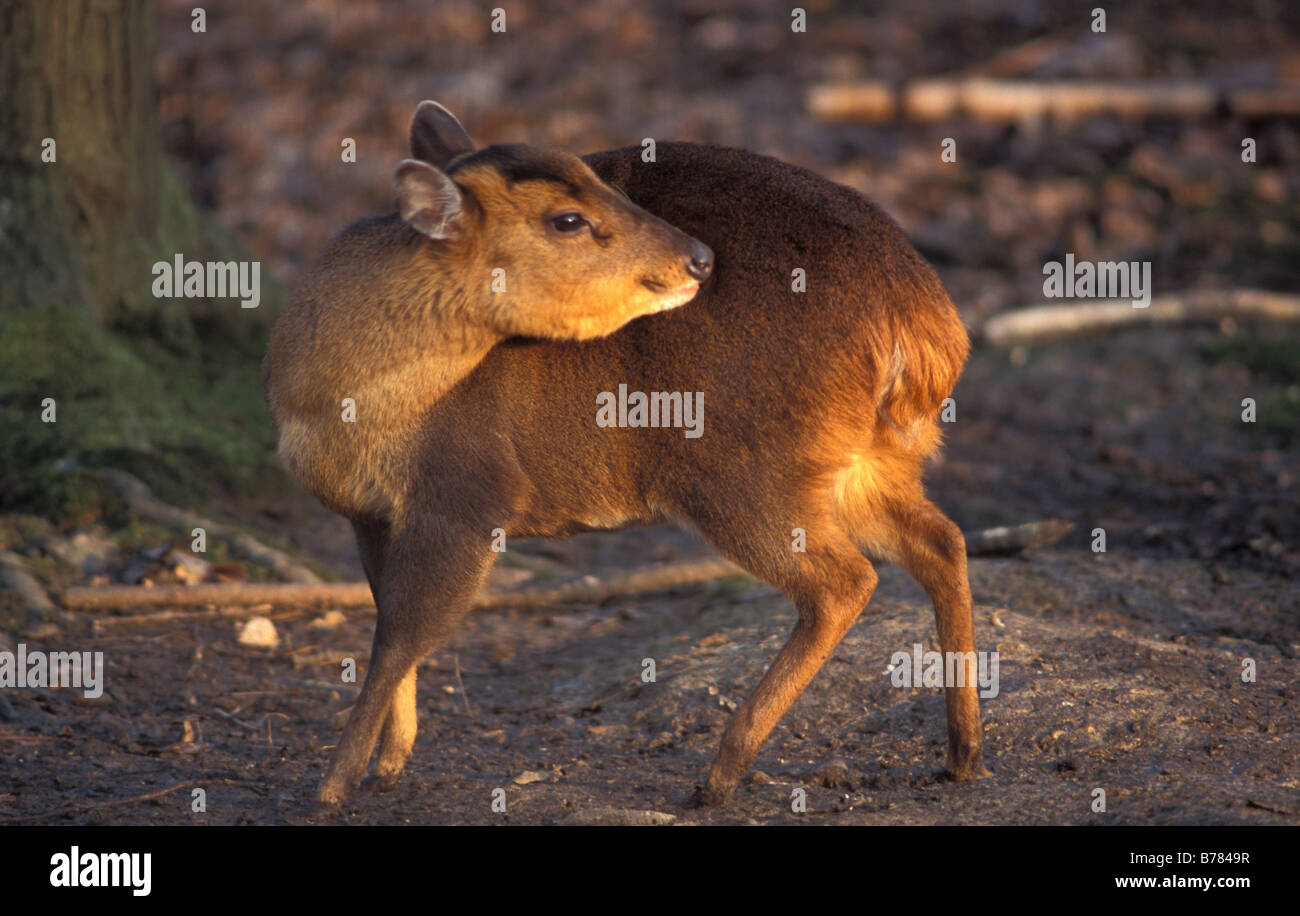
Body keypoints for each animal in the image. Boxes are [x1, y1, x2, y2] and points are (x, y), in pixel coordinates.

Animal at [263, 100, 987, 809]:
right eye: (568, 218)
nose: (699, 258)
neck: (334, 404)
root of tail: (928, 329)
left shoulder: (467, 493)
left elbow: (403, 634)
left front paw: (332, 786)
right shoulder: (369, 513)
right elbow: (387, 614)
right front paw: (389, 763)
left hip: (739, 471)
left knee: (844, 581)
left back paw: (719, 774)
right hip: (861, 464)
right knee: (941, 539)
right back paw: (963, 755)